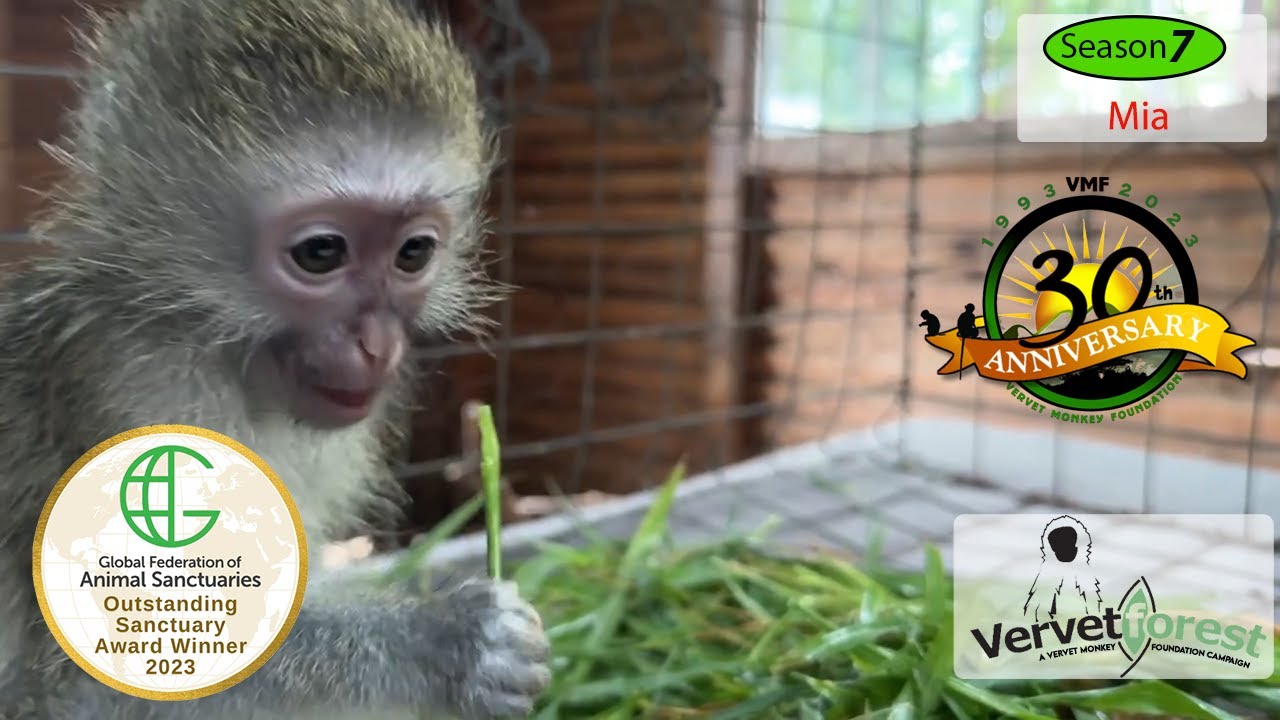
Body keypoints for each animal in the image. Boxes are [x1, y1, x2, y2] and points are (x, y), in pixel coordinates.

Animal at [0, 1, 550, 718]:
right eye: (321, 253)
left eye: (413, 253)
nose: (377, 343)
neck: (214, 347)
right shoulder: (138, 387)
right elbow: (89, 682)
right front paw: (442, 646)